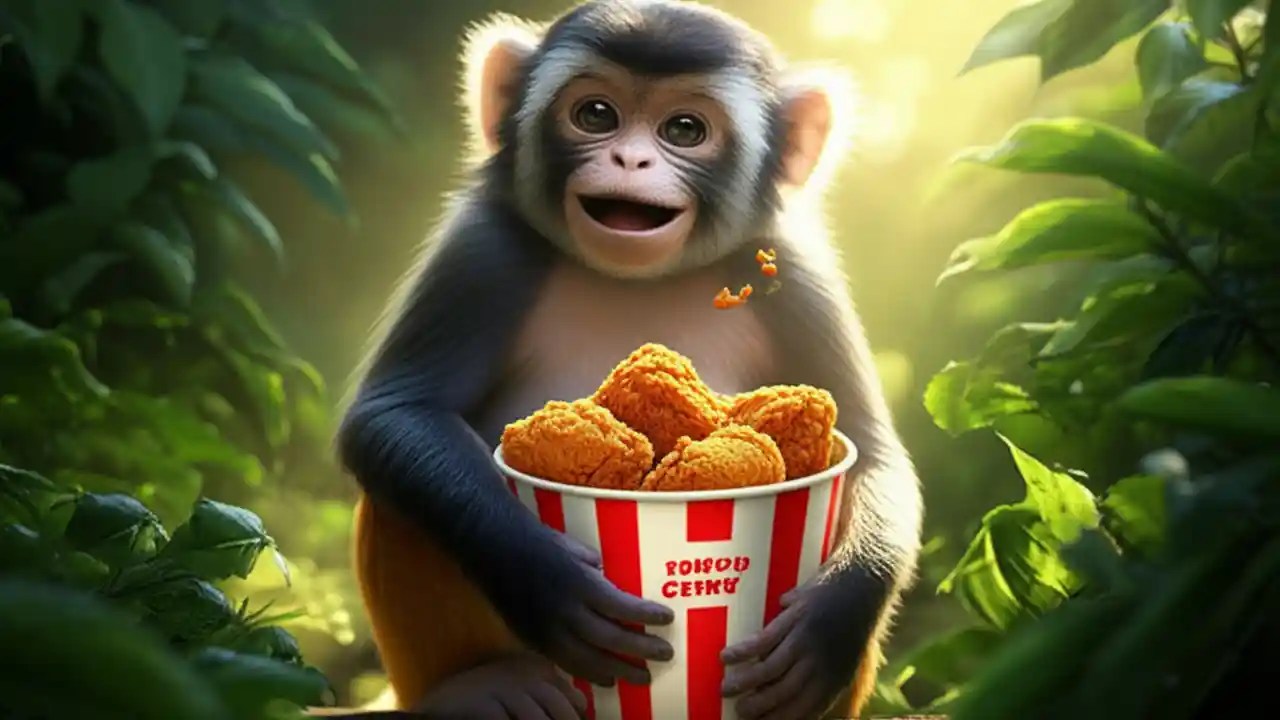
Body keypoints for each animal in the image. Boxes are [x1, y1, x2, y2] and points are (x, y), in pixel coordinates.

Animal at [335, 2, 923, 719]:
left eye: (685, 129)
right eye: (595, 115)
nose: (630, 157)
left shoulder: (801, 278)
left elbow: (874, 451)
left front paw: (832, 619)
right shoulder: (483, 250)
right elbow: (394, 415)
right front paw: (545, 578)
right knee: (398, 499)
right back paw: (478, 686)